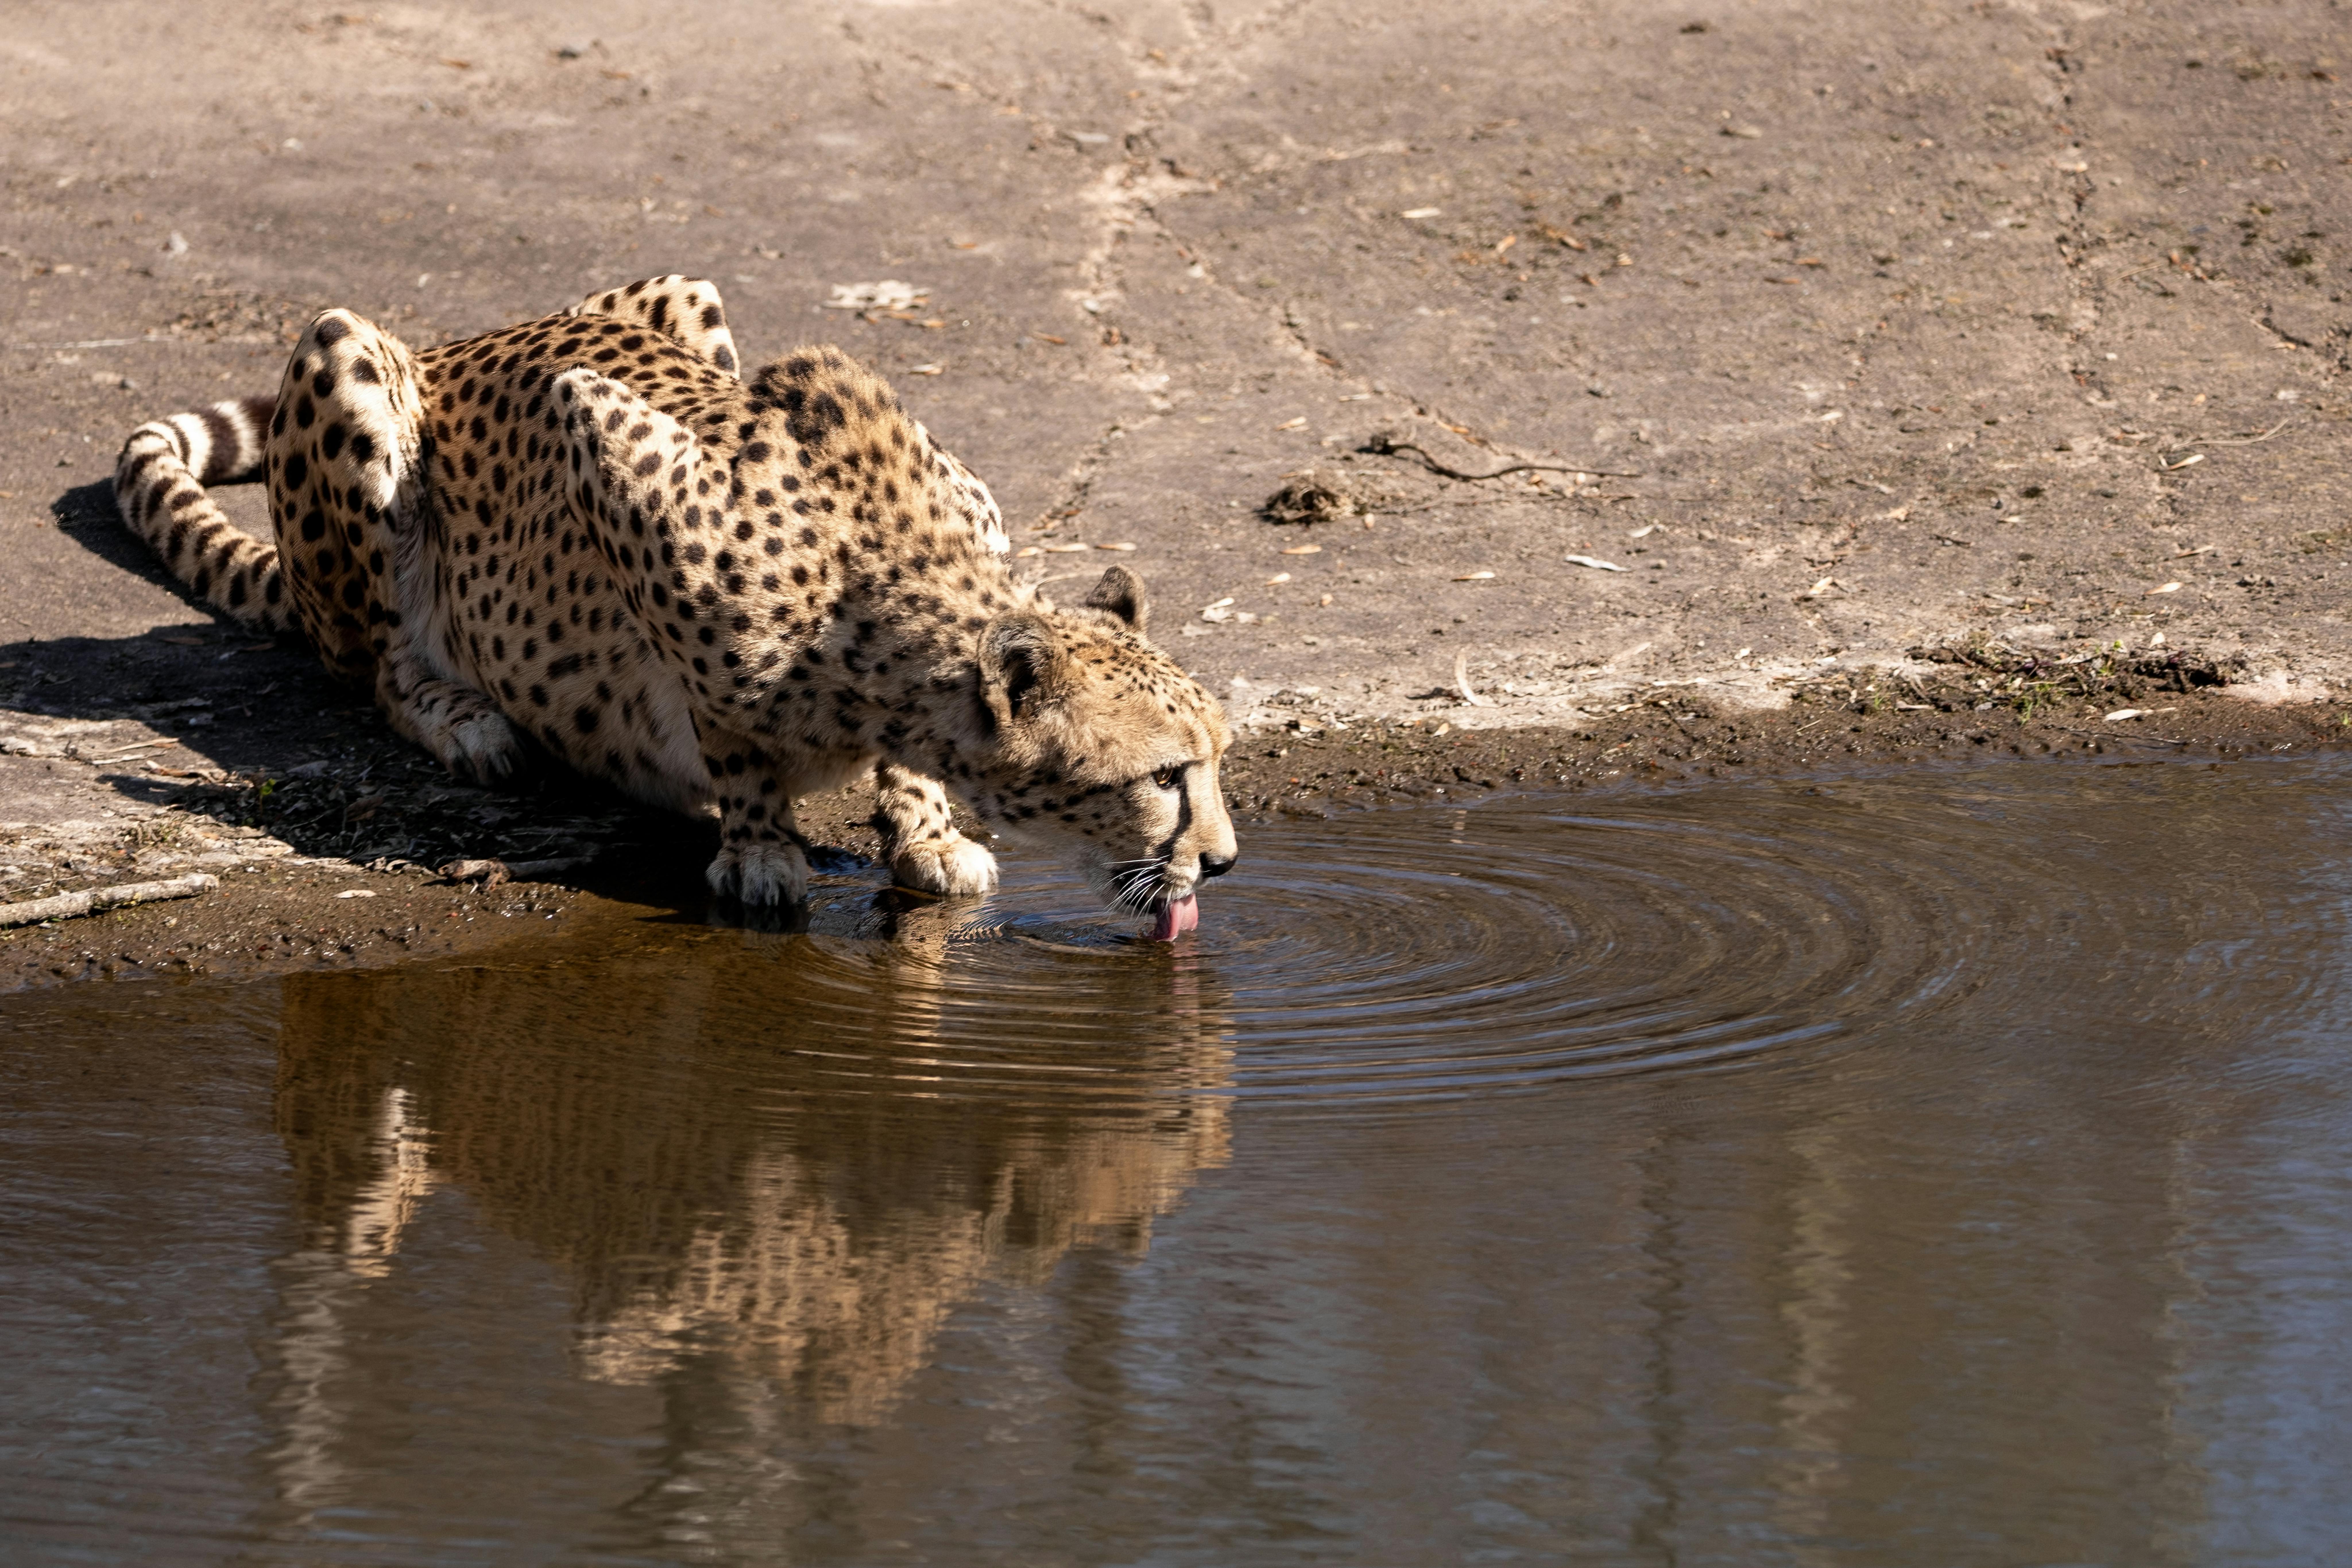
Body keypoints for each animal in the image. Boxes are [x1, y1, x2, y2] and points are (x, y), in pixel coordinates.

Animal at [114, 275, 1236, 935]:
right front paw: (760, 845)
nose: (1224, 863)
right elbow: (721, 709)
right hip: (347, 361)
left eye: (1217, 759)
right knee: (379, 665)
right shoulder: (606, 453)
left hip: (683, 292)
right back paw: (466, 719)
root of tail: (446, 344)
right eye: (1164, 775)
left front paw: (921, 826)